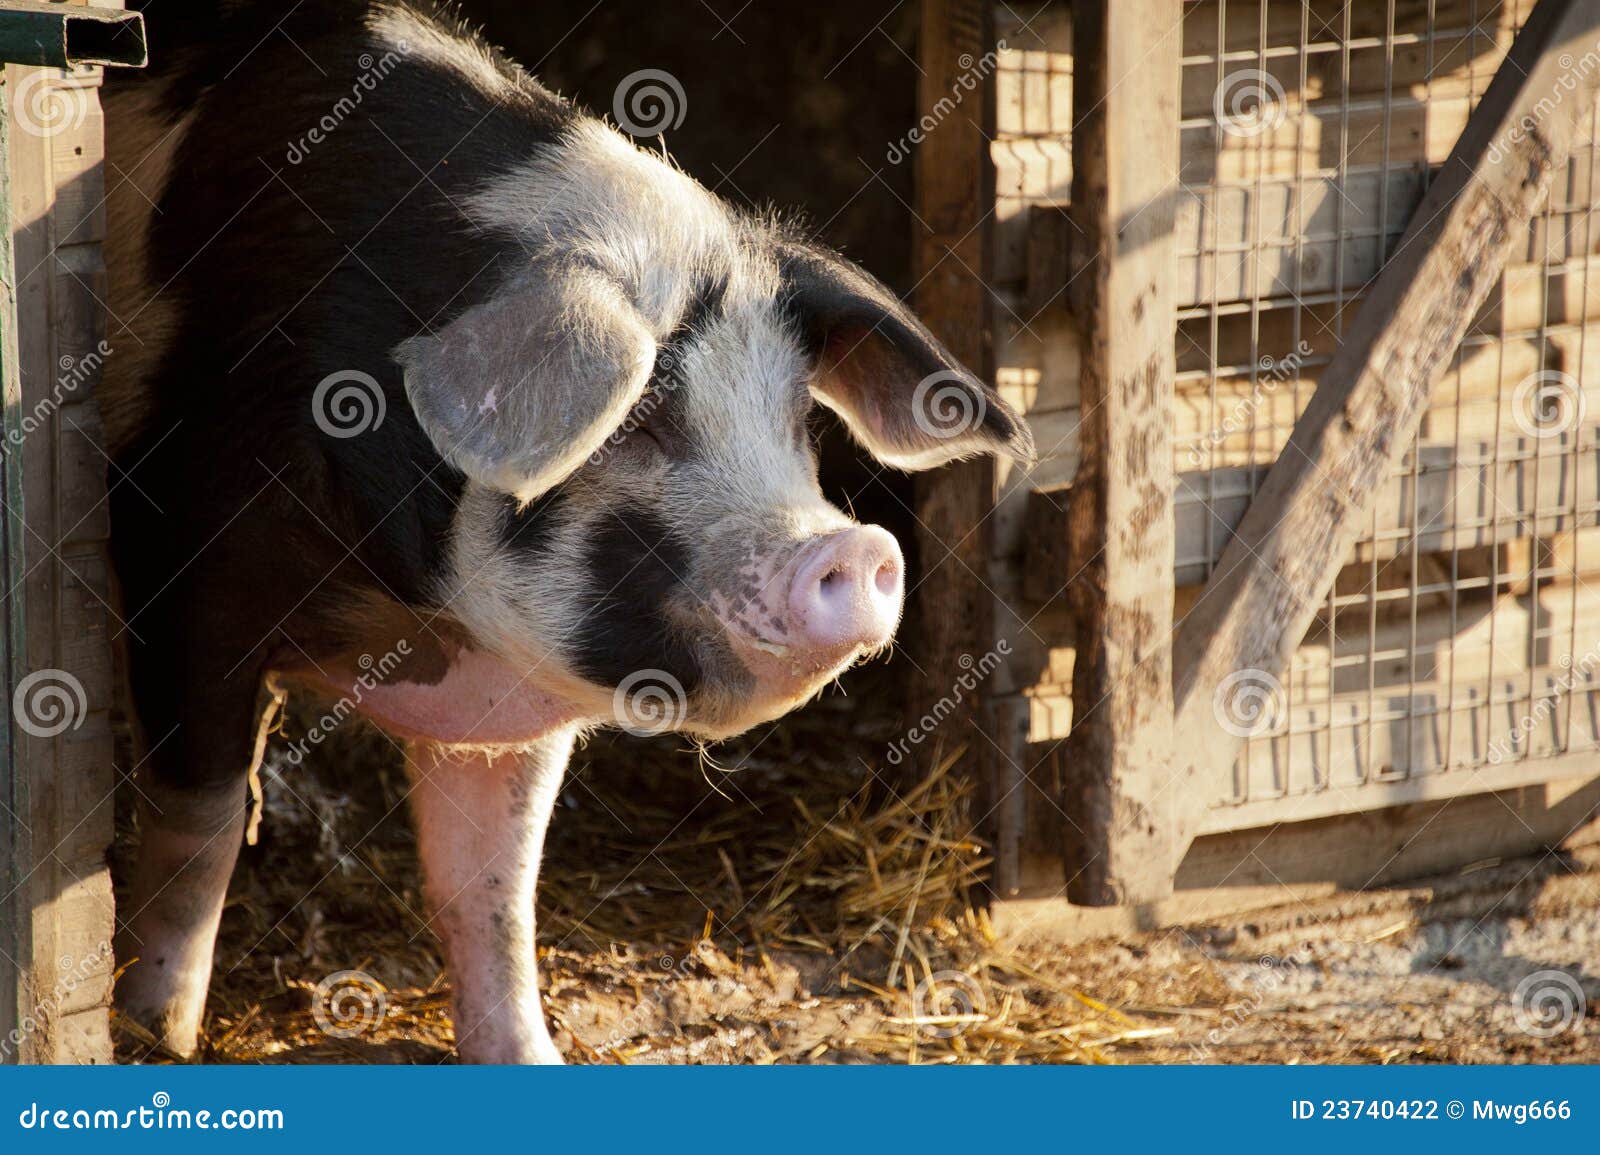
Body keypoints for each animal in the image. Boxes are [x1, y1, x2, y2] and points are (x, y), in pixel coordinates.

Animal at [102, 1, 1031, 1063]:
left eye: (799, 421)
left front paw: (531, 1055)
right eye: (636, 421)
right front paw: (155, 1032)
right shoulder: (177, 563)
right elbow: (203, 819)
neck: (411, 619)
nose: (855, 546)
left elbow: (495, 886)